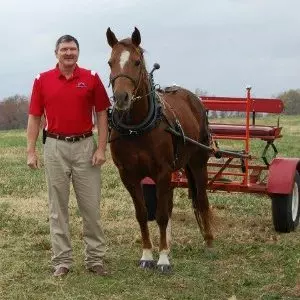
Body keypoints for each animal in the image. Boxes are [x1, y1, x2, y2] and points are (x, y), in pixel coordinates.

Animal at [105, 27, 213, 272]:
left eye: (137, 62)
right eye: (110, 62)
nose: (121, 98)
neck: (137, 128)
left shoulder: (162, 172)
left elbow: (162, 215)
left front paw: (163, 259)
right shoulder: (129, 176)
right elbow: (143, 214)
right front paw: (147, 254)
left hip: (198, 163)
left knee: (202, 199)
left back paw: (209, 241)